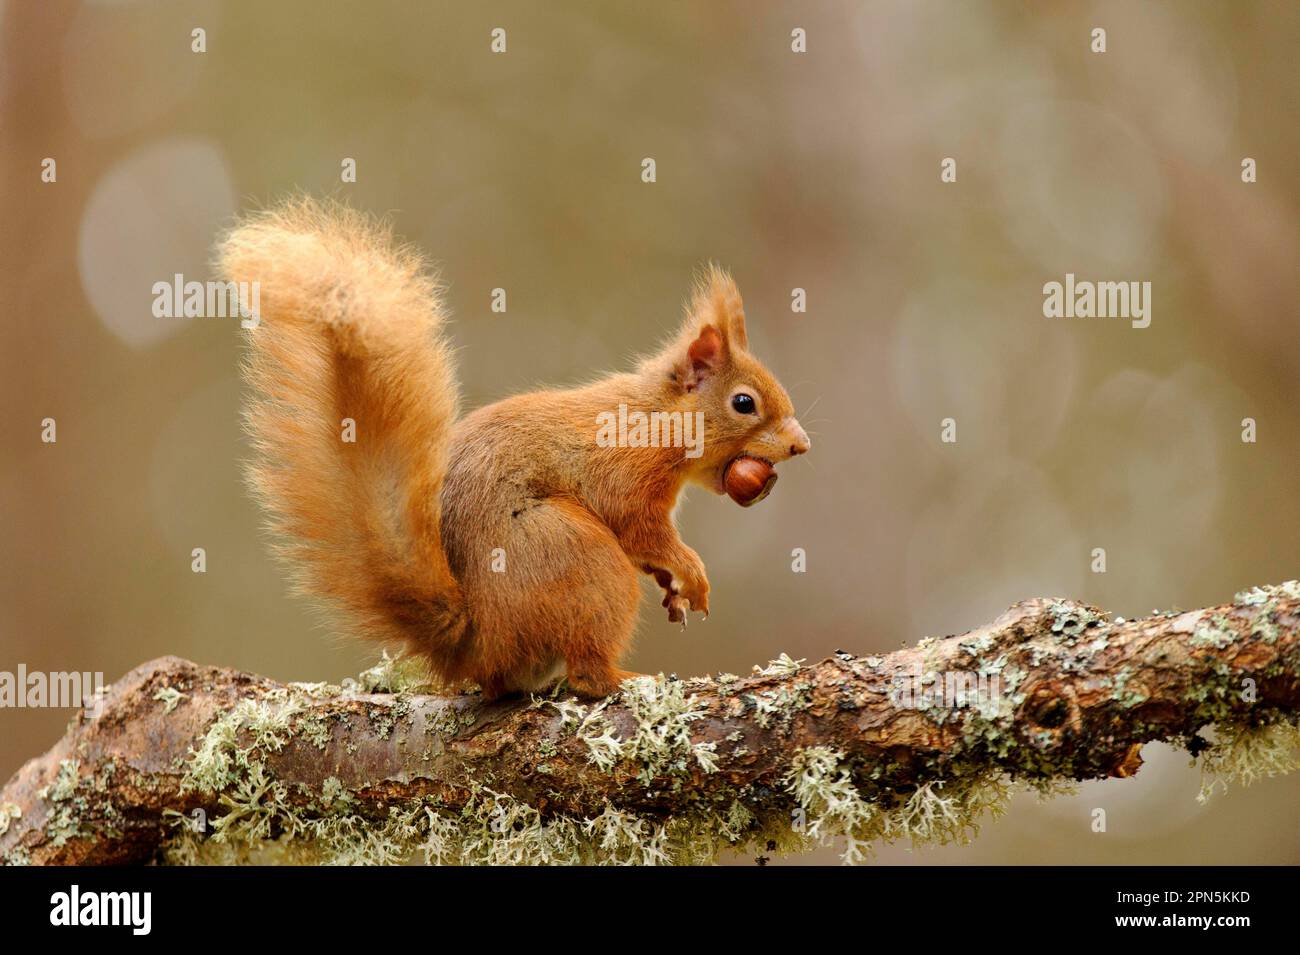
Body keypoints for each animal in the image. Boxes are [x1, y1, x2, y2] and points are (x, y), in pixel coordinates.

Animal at [218, 198, 810, 699]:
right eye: (744, 403)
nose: (801, 445)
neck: (654, 417)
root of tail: (477, 644)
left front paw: (673, 589)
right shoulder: (624, 472)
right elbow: (640, 527)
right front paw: (690, 571)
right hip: (577, 558)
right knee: (587, 673)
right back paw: (623, 679)